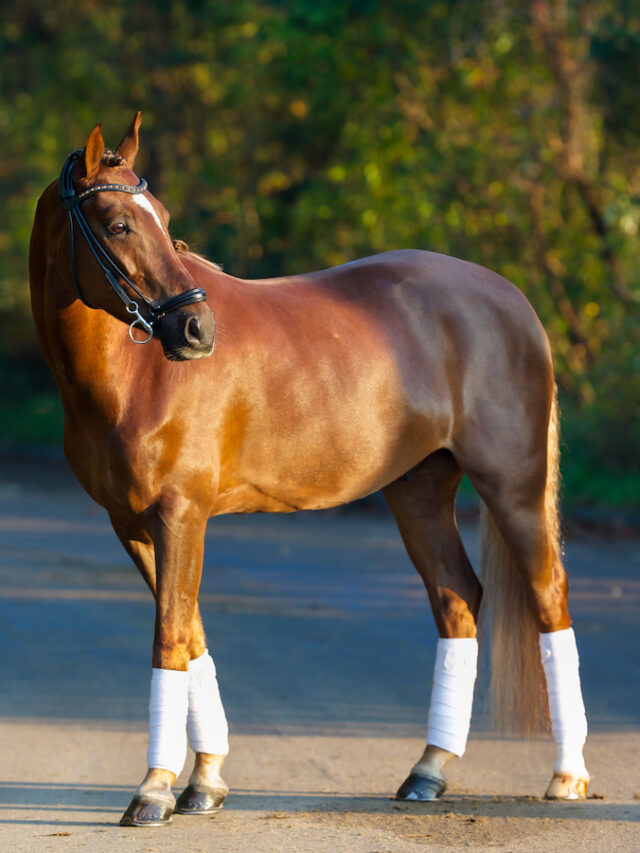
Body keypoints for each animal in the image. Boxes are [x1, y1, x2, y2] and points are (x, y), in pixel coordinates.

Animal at [29, 114, 590, 827]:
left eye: (161, 217)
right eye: (119, 223)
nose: (196, 328)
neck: (135, 376)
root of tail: (510, 298)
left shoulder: (180, 514)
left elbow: (169, 638)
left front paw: (153, 789)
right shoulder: (132, 524)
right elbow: (191, 635)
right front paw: (205, 782)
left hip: (513, 487)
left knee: (550, 600)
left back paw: (567, 775)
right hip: (420, 491)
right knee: (457, 600)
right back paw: (428, 771)